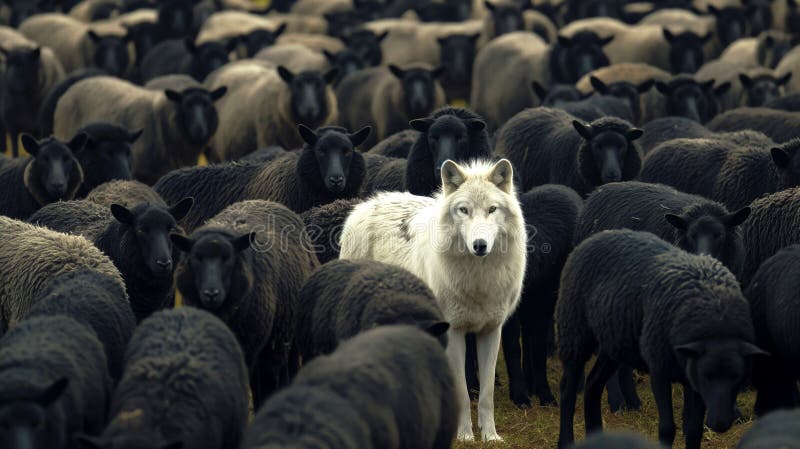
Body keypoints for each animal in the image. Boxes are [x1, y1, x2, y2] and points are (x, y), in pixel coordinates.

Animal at [0, 27, 65, 157]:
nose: (9, 78)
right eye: (8, 63)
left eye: (23, 64)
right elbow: (15, 151)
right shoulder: (12, 126)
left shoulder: (38, 129)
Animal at [171, 200, 319, 406]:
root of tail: (266, 201)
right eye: (196, 258)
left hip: (282, 340)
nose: (211, 293)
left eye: (228, 258)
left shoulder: (251, 347)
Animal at [339, 158, 527, 442]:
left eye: (492, 209)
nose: (480, 245)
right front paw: (464, 436)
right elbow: (463, 391)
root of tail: (364, 206)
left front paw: (490, 436)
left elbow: (486, 395)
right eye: (464, 210)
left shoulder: (491, 332)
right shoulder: (455, 333)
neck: (478, 278)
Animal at [557, 229, 764, 449]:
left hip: (613, 342)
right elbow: (666, 429)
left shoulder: (693, 378)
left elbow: (694, 431)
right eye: (707, 375)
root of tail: (597, 235)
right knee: (568, 389)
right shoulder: (659, 370)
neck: (717, 320)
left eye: (737, 377)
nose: (720, 424)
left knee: (593, 385)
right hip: (573, 330)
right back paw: (565, 440)